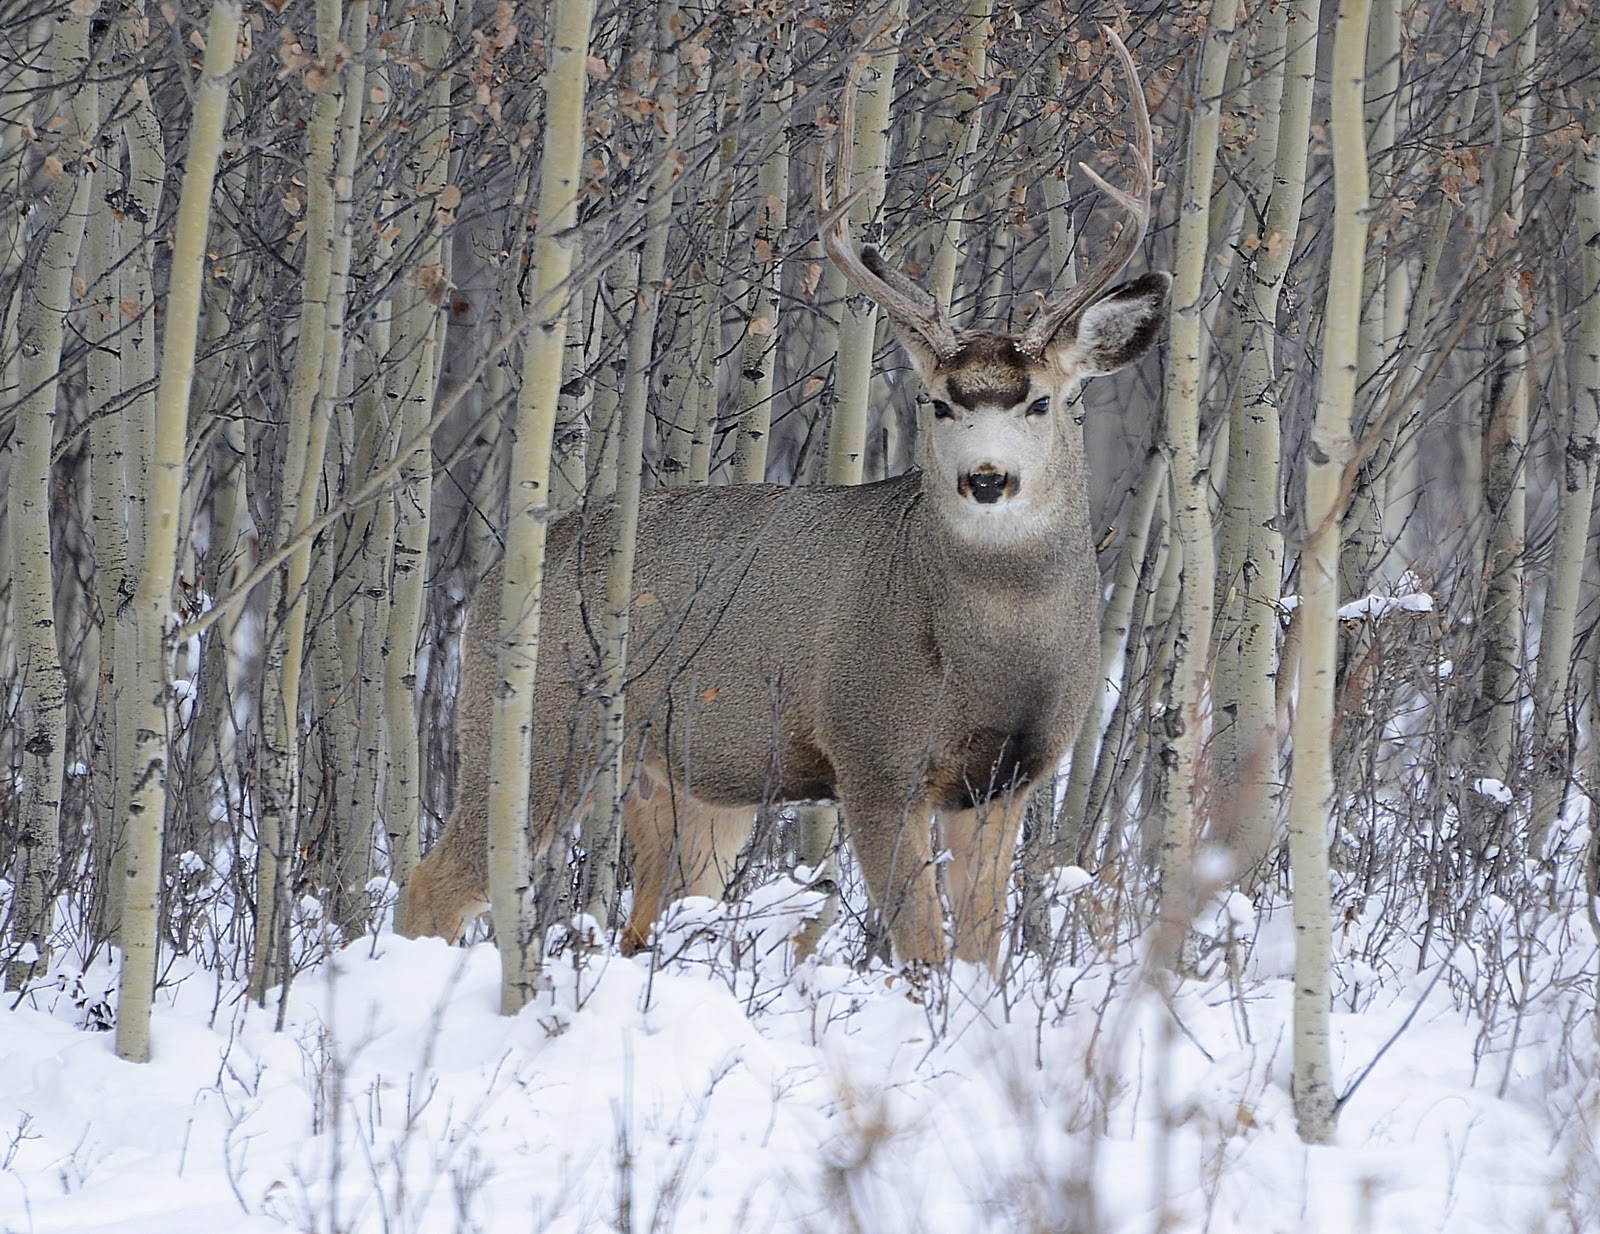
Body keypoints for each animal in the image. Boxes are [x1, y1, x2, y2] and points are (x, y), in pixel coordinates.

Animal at [401, 30, 1170, 974]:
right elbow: (921, 948)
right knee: (436, 885)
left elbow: (979, 954)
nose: (986, 479)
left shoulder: (1003, 781)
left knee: (644, 919)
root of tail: (485, 591)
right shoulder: (872, 757)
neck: (993, 653)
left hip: (692, 784)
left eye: (1042, 403)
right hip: (535, 726)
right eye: (937, 403)